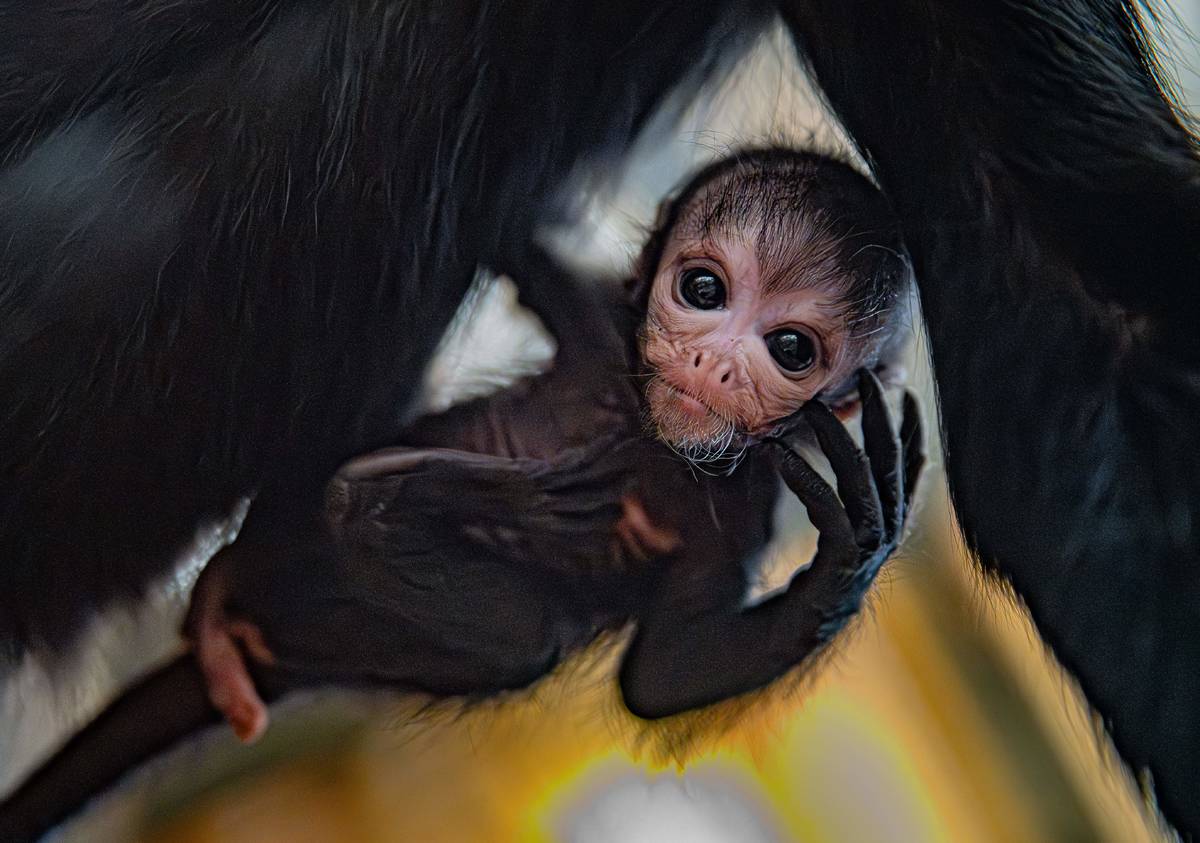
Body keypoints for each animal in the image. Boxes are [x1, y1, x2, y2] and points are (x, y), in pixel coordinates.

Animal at [0, 149, 924, 840]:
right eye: (704, 290)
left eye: (791, 348)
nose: (714, 364)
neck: (648, 436)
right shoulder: (600, 320)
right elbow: (514, 247)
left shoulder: (746, 508)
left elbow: (659, 677)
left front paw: (853, 549)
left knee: (523, 636)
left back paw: (398, 504)